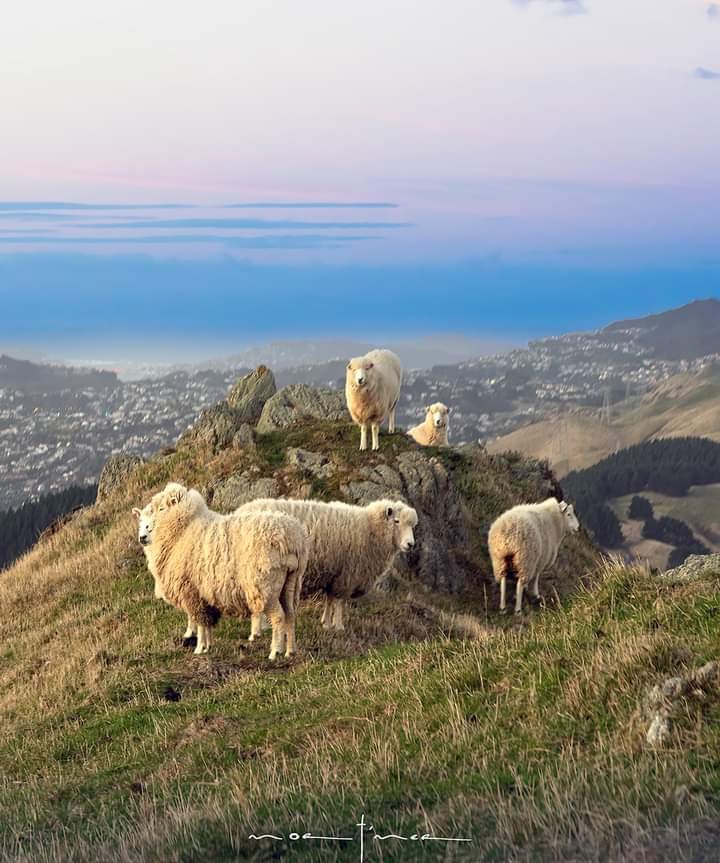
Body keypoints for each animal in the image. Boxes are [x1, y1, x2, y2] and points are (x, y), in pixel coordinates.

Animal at [136, 482, 308, 658]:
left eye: (161, 508)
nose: (143, 535)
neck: (183, 530)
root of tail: (292, 539)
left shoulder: (192, 592)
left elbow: (200, 622)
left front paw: (199, 648)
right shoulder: (203, 594)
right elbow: (207, 622)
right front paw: (208, 646)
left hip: (266, 587)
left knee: (278, 617)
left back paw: (275, 651)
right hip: (291, 583)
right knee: (290, 615)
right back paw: (290, 650)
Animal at [238, 497, 418, 631]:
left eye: (412, 525)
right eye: (396, 521)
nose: (410, 544)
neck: (370, 529)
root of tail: (239, 511)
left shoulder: (333, 573)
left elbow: (329, 599)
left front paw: (326, 623)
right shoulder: (347, 574)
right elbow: (339, 601)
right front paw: (338, 626)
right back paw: (263, 626)